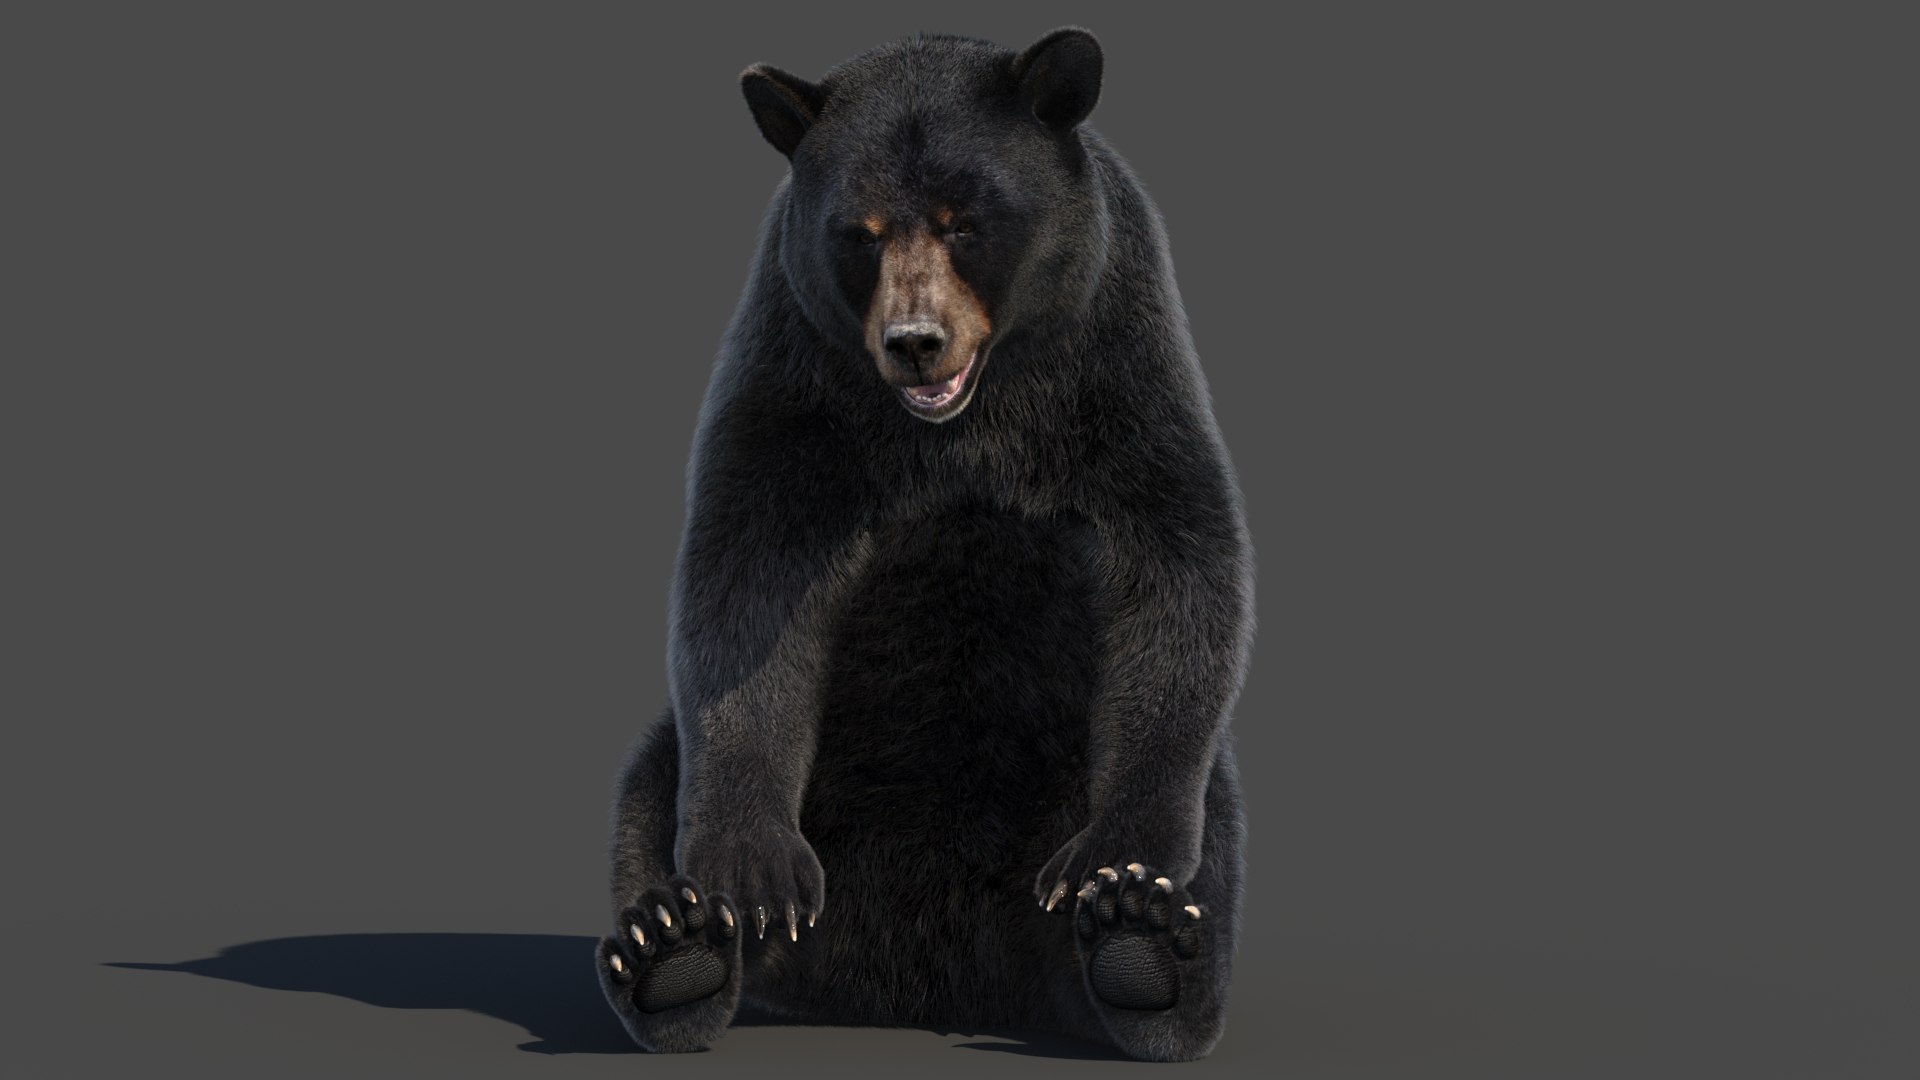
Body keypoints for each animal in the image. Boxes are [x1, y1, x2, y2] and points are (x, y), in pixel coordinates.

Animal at [595, 27, 1255, 1063]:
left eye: (965, 222)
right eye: (859, 233)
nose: (915, 341)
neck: (961, 425)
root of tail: (922, 984)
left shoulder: (1115, 369)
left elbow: (1175, 557)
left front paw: (1118, 866)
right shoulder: (801, 385)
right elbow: (747, 580)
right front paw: (752, 872)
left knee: (1211, 821)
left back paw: (1143, 951)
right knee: (649, 786)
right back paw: (675, 946)